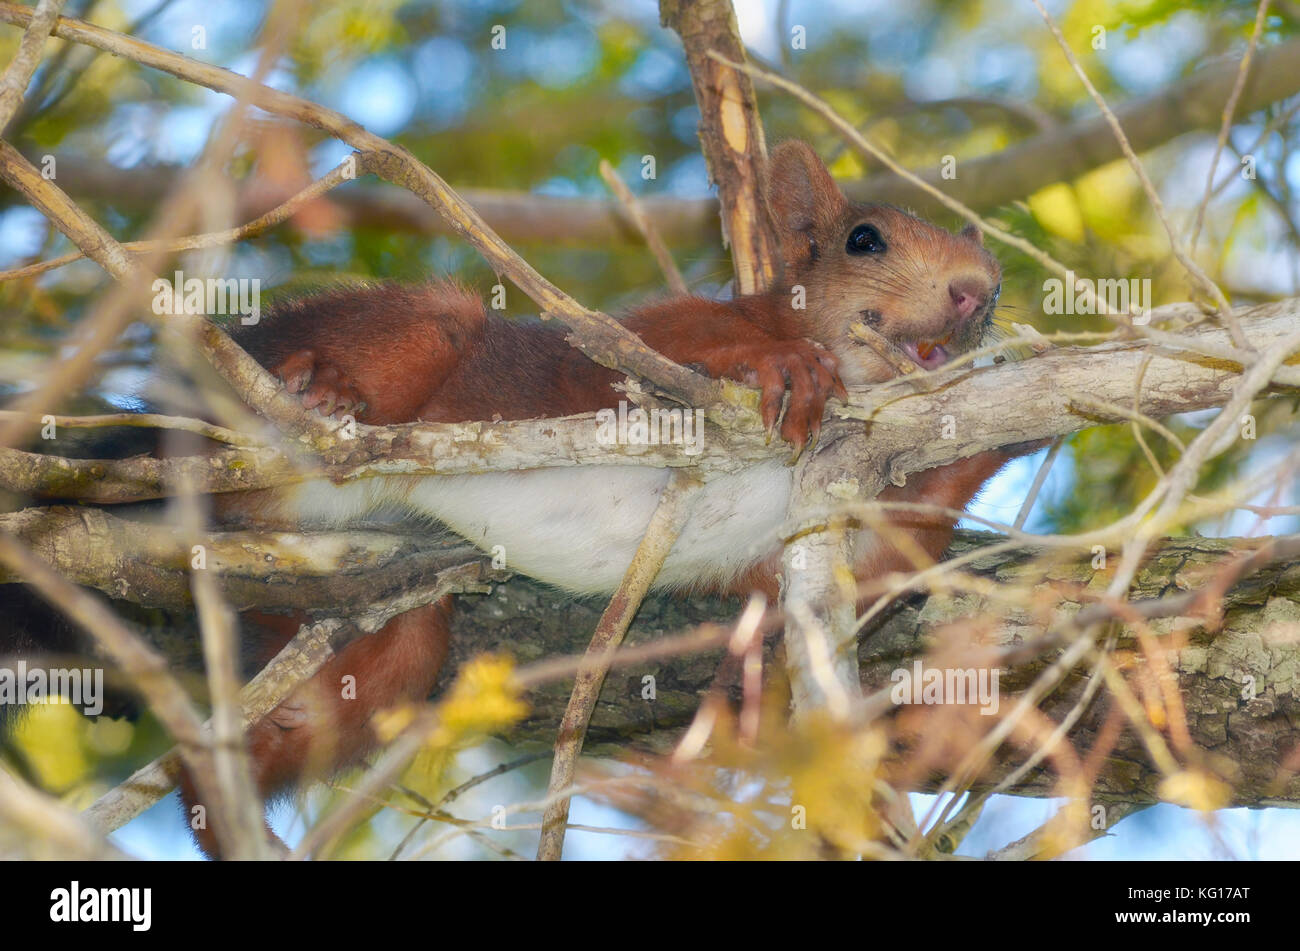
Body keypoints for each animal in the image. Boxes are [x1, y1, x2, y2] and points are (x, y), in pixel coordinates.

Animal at [3, 141, 1016, 856]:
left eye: (995, 288)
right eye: (863, 240)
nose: (979, 293)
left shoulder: (821, 533)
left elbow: (891, 549)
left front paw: (1011, 429)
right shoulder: (644, 341)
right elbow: (674, 348)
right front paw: (784, 366)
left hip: (390, 622)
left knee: (332, 690)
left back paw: (235, 783)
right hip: (389, 354)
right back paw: (317, 391)